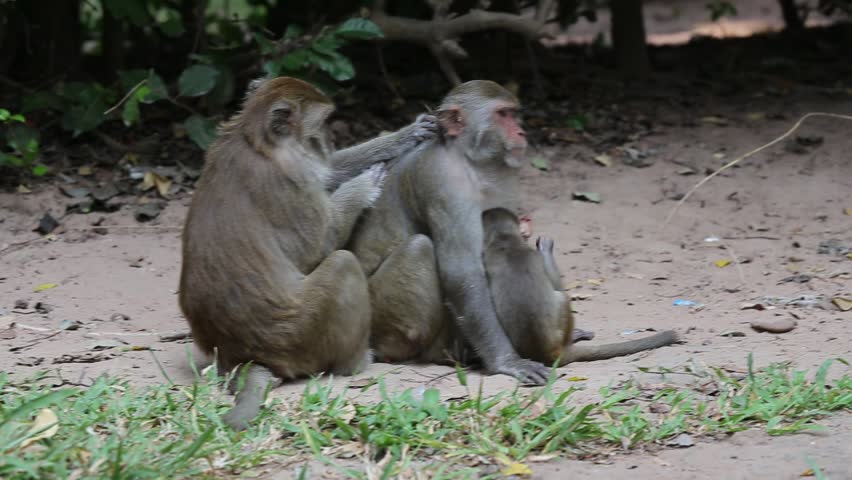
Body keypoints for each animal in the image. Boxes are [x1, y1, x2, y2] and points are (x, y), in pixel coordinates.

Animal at [178, 77, 437, 430]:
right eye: (325, 123)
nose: (330, 139)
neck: (254, 141)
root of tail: (244, 357)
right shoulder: (290, 180)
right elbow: (317, 247)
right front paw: (365, 183)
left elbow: (328, 172)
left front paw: (403, 136)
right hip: (302, 332)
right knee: (342, 264)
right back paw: (356, 361)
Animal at [347, 80, 554, 385]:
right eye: (502, 114)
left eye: (514, 114)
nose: (521, 132)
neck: (467, 158)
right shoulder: (444, 182)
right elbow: (462, 271)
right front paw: (508, 361)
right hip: (381, 315)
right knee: (420, 248)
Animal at [481, 207, 678, 365]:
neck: (504, 239)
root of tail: (550, 354)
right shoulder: (533, 256)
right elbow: (556, 284)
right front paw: (545, 248)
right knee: (561, 297)